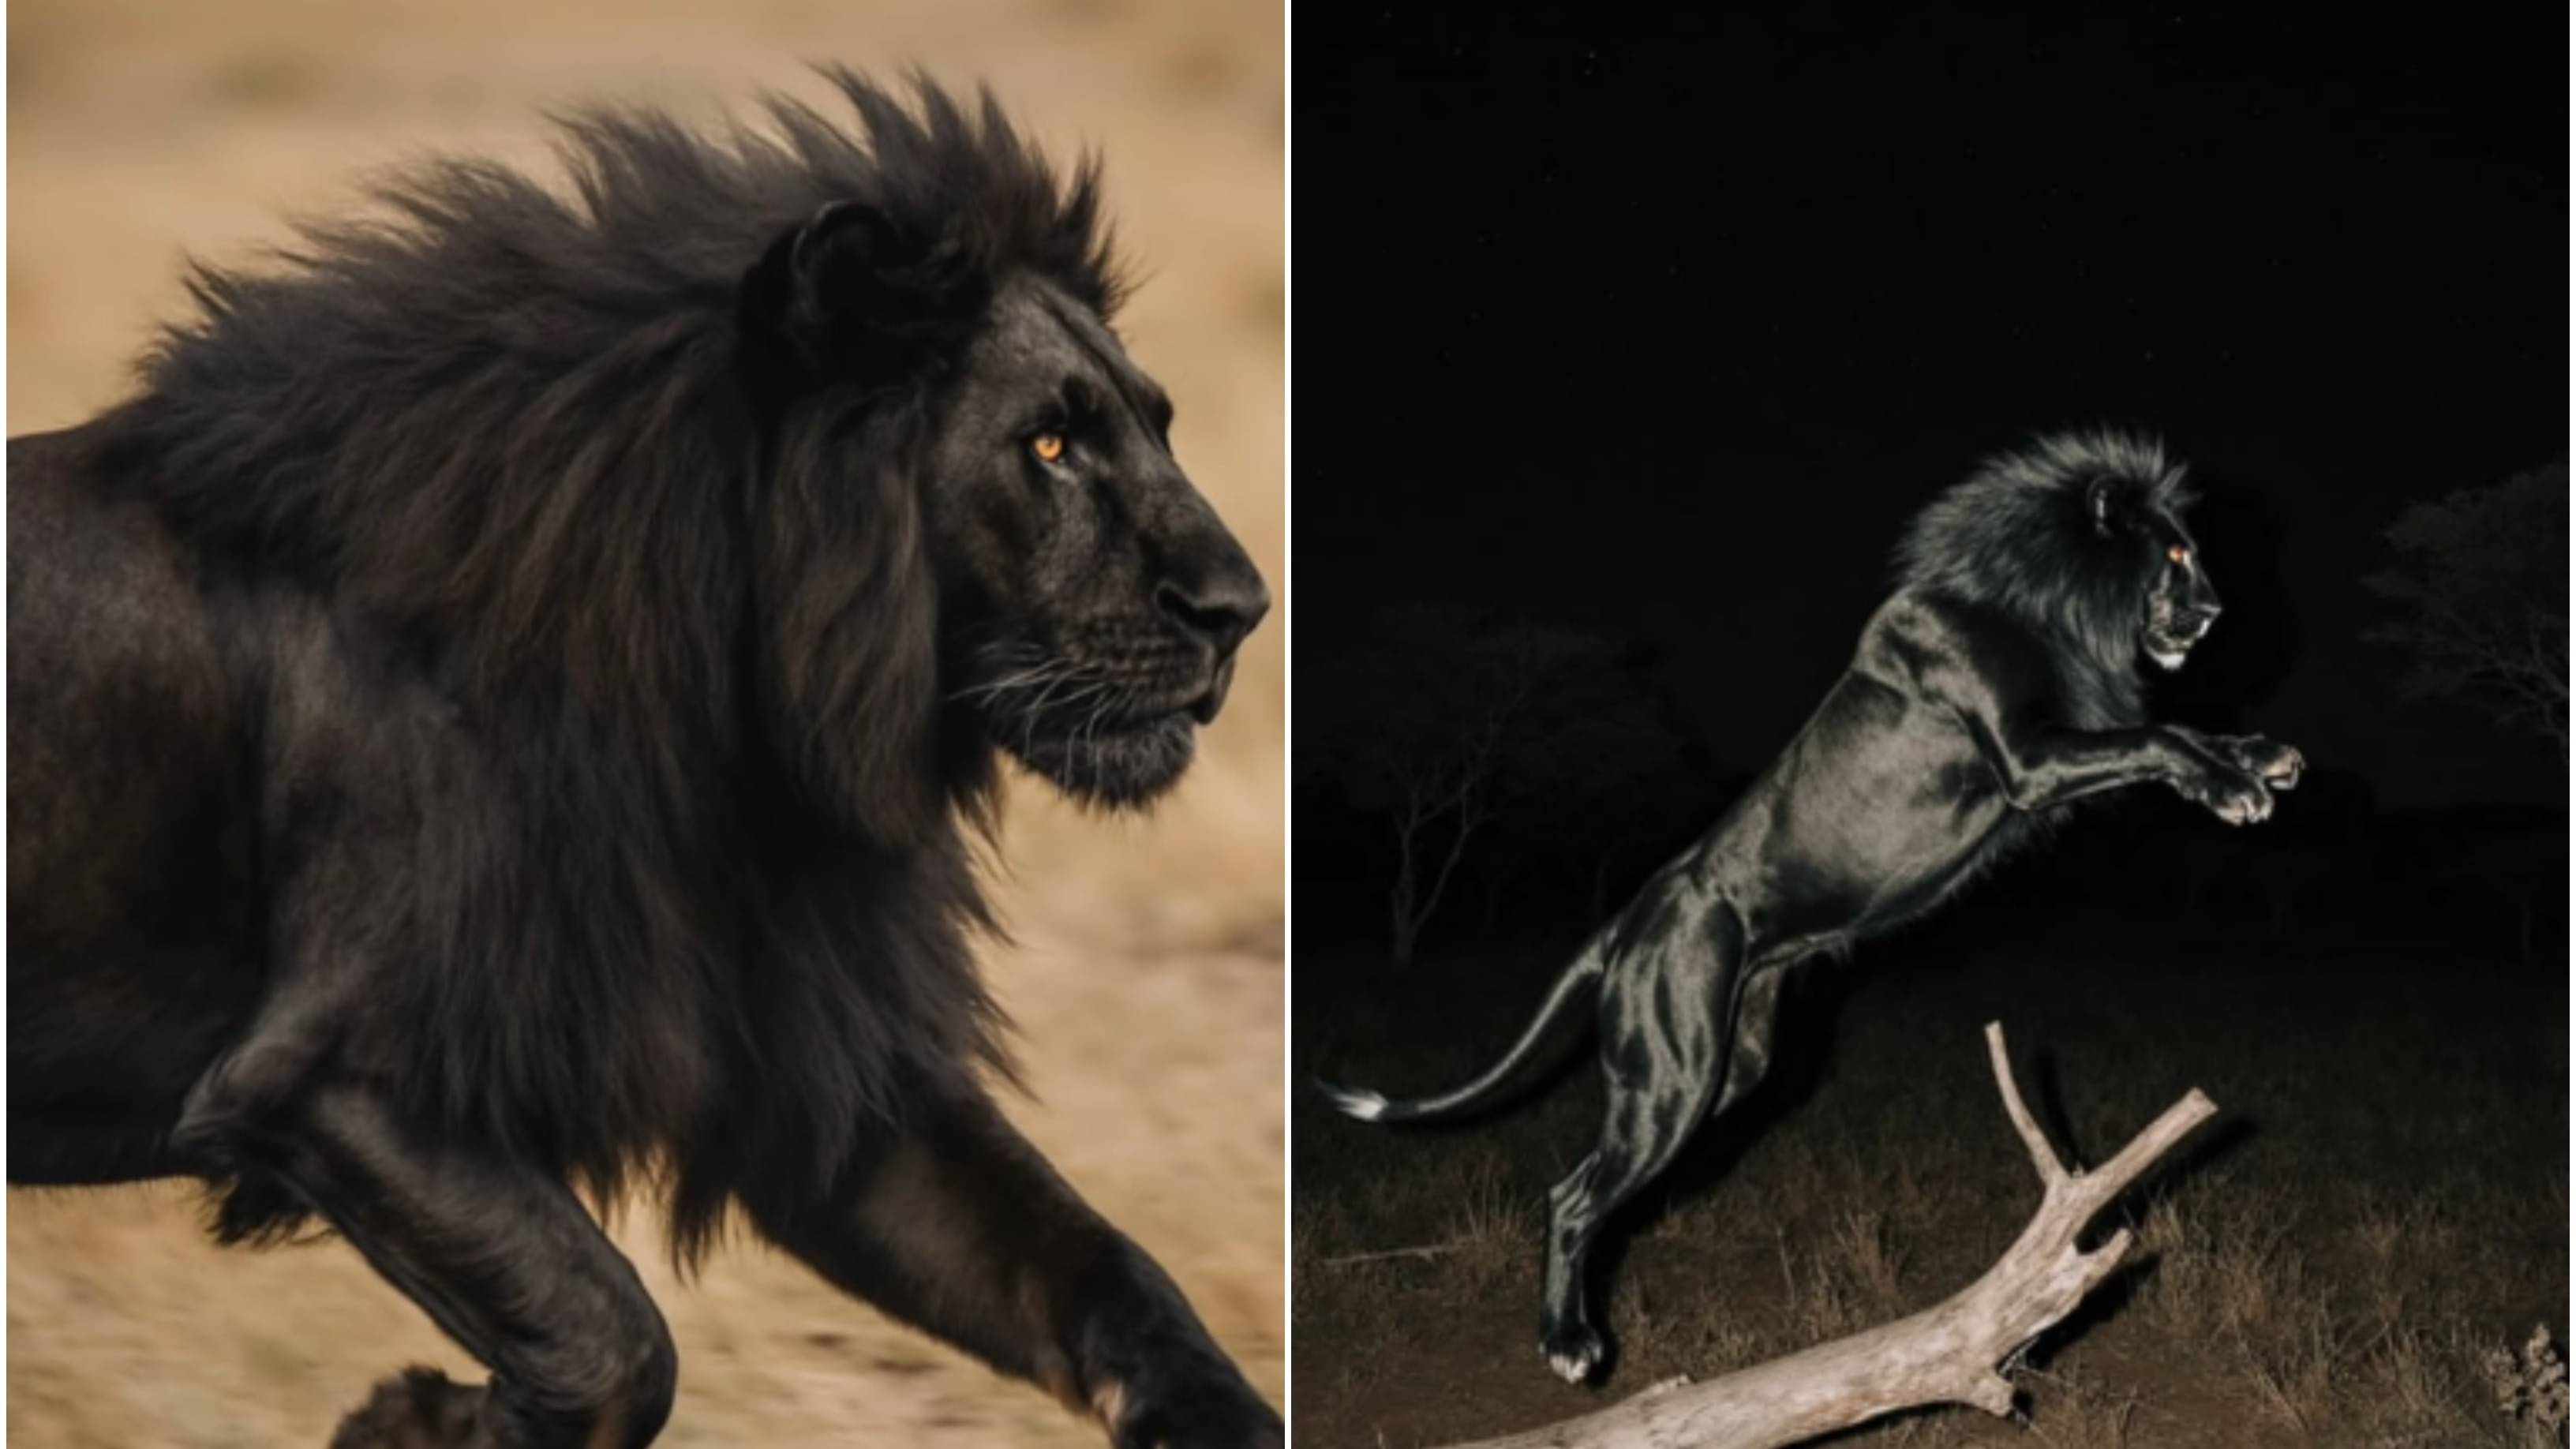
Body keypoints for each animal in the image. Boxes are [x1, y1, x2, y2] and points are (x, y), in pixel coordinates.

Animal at [9, 75, 1277, 1448]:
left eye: (1156, 425)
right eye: (1049, 446)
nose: (1242, 610)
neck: (754, 738)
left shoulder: (828, 1079)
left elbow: (1105, 1273)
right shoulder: (329, 1076)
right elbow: (617, 1335)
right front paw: (416, 1423)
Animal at [1320, 431, 2304, 1385]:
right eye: (2174, 554)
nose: (2214, 611)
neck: (2037, 596)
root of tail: (1631, 916)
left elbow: (2183, 728)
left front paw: (2264, 756)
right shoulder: (2027, 760)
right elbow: (2158, 733)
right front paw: (2235, 790)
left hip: (1728, 1070)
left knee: (1594, 1175)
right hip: (1673, 1079)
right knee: (1570, 1197)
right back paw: (1570, 1345)